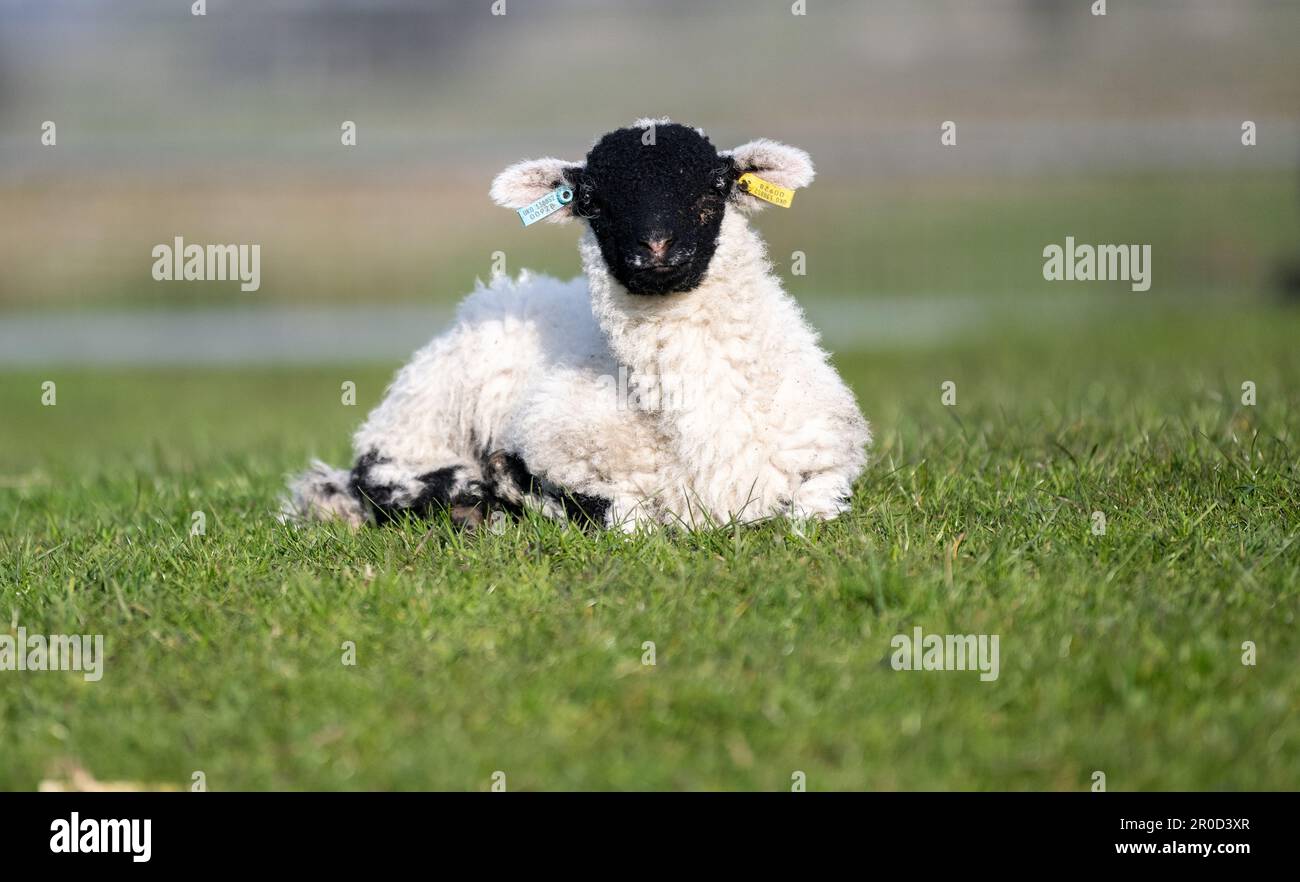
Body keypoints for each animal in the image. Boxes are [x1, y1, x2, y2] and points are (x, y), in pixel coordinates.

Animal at [287, 119, 871, 531]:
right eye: (592, 201)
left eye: (716, 188)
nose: (656, 247)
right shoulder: (566, 460)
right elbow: (621, 520)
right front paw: (511, 495)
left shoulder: (828, 468)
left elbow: (813, 513)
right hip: (418, 423)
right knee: (382, 480)